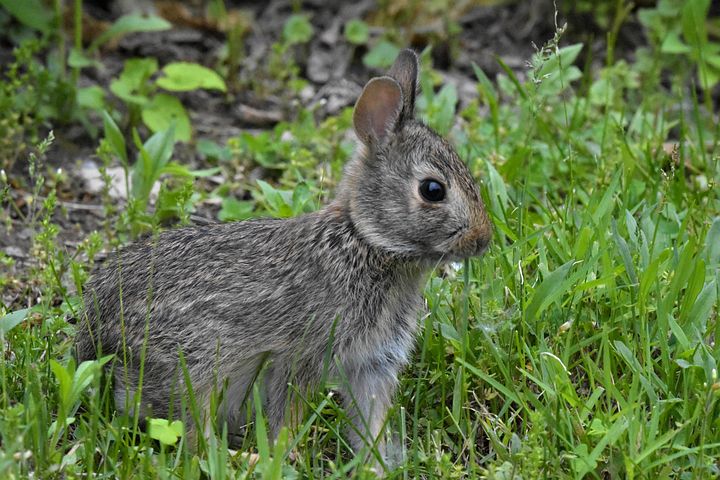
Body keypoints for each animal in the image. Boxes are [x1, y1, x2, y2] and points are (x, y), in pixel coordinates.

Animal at [75, 49, 492, 465]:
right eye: (433, 190)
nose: (482, 240)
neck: (366, 242)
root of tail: (96, 331)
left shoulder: (371, 363)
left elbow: (370, 419)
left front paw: (375, 465)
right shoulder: (300, 356)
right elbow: (286, 414)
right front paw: (281, 456)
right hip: (190, 368)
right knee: (192, 434)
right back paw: (242, 458)